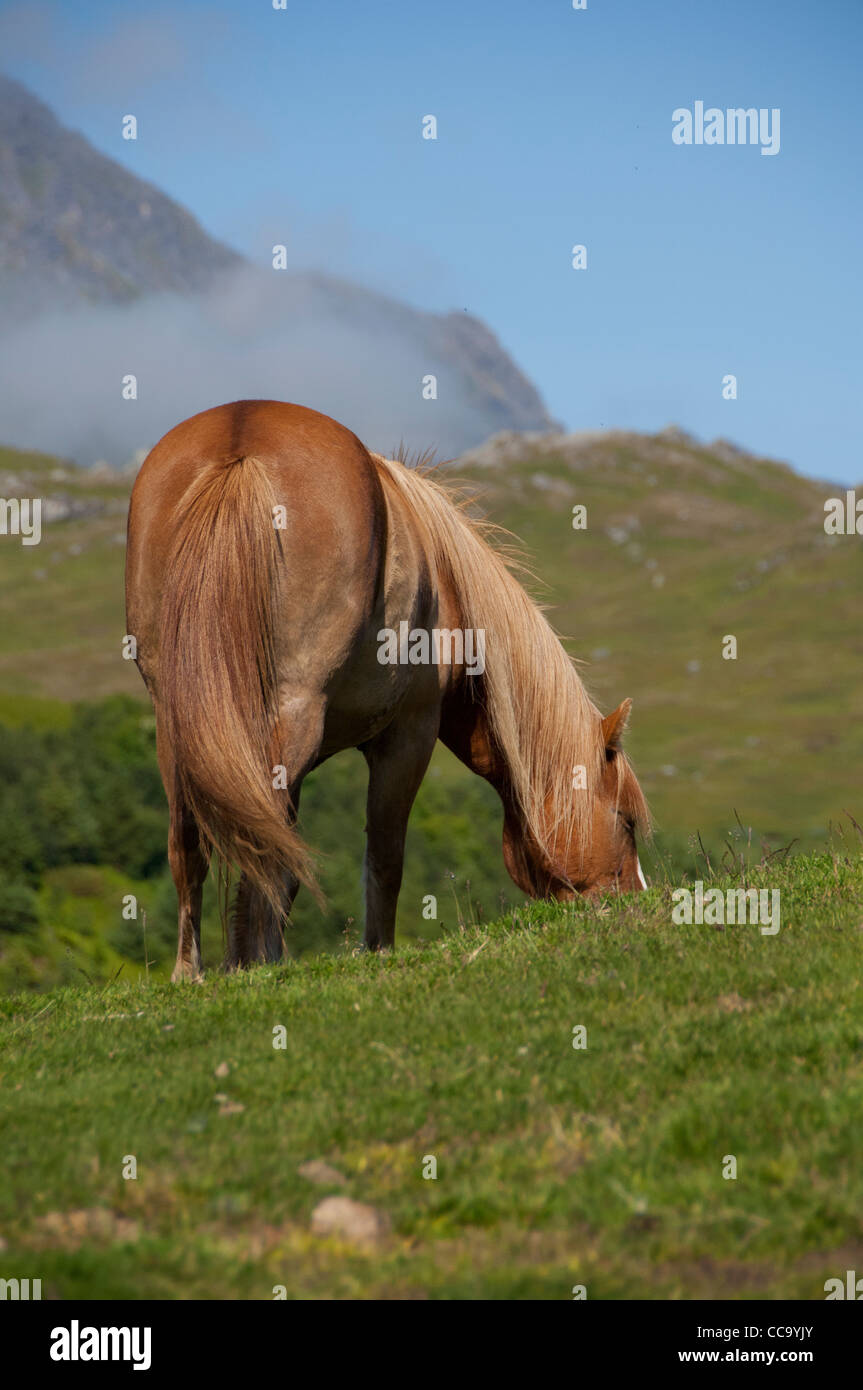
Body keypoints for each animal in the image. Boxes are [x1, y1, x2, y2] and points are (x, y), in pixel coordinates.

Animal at [125, 400, 649, 981]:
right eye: (625, 820)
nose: (637, 904)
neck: (448, 580)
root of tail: (242, 440)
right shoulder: (407, 735)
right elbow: (383, 858)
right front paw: (374, 952)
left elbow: (289, 867)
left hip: (179, 725)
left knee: (192, 846)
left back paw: (194, 971)